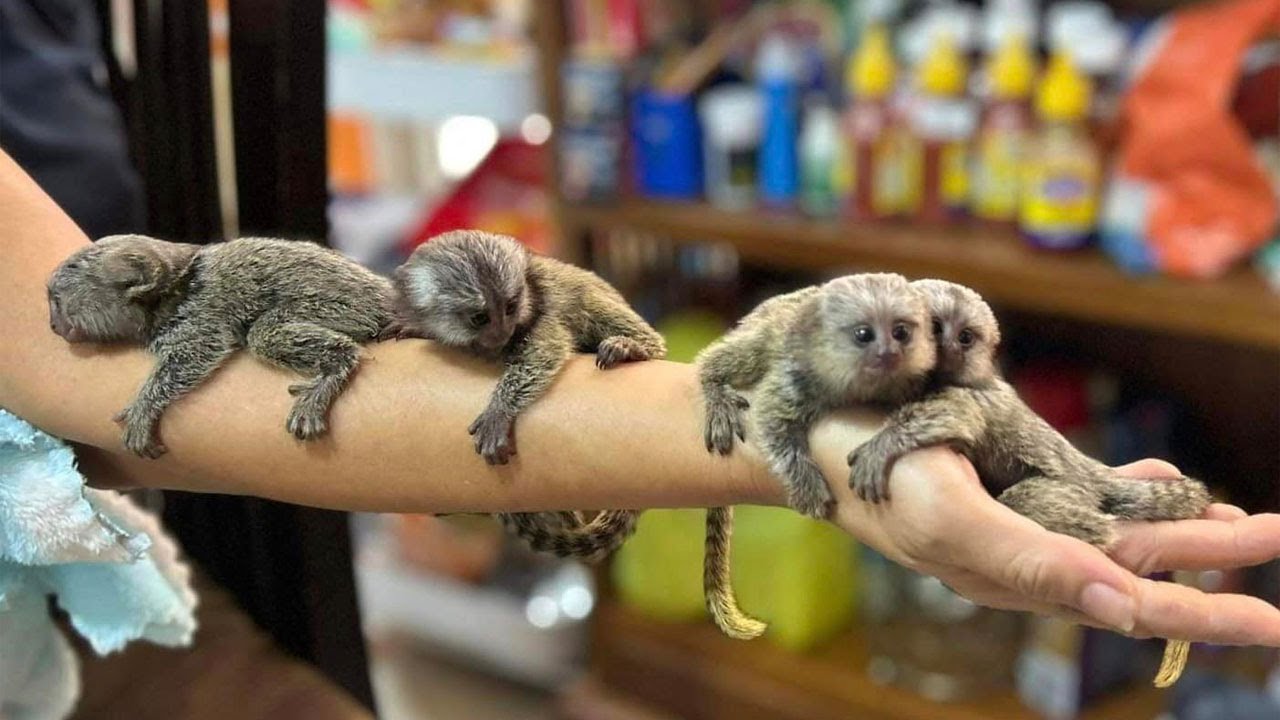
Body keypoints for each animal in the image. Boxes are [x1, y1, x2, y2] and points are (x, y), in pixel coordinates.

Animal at [47, 234, 393, 458]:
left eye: (56, 302)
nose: (53, 326)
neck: (172, 294)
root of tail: (388, 296)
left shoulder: (197, 315)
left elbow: (197, 352)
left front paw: (145, 406)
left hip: (347, 308)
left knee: (263, 334)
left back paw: (334, 369)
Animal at [386, 229, 666, 562]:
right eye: (480, 317)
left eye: (509, 307)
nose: (502, 332)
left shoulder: (545, 310)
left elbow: (544, 351)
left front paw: (499, 410)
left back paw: (633, 347)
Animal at [695, 273, 936, 639]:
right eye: (864, 335)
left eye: (901, 333)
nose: (889, 353)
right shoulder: (795, 377)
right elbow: (772, 420)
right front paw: (807, 485)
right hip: (761, 336)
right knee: (735, 355)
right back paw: (714, 387)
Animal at [846, 278, 1206, 687]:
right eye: (935, 328)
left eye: (965, 337)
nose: (949, 347)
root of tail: (1091, 470)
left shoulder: (966, 397)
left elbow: (954, 416)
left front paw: (884, 444)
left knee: (1030, 502)